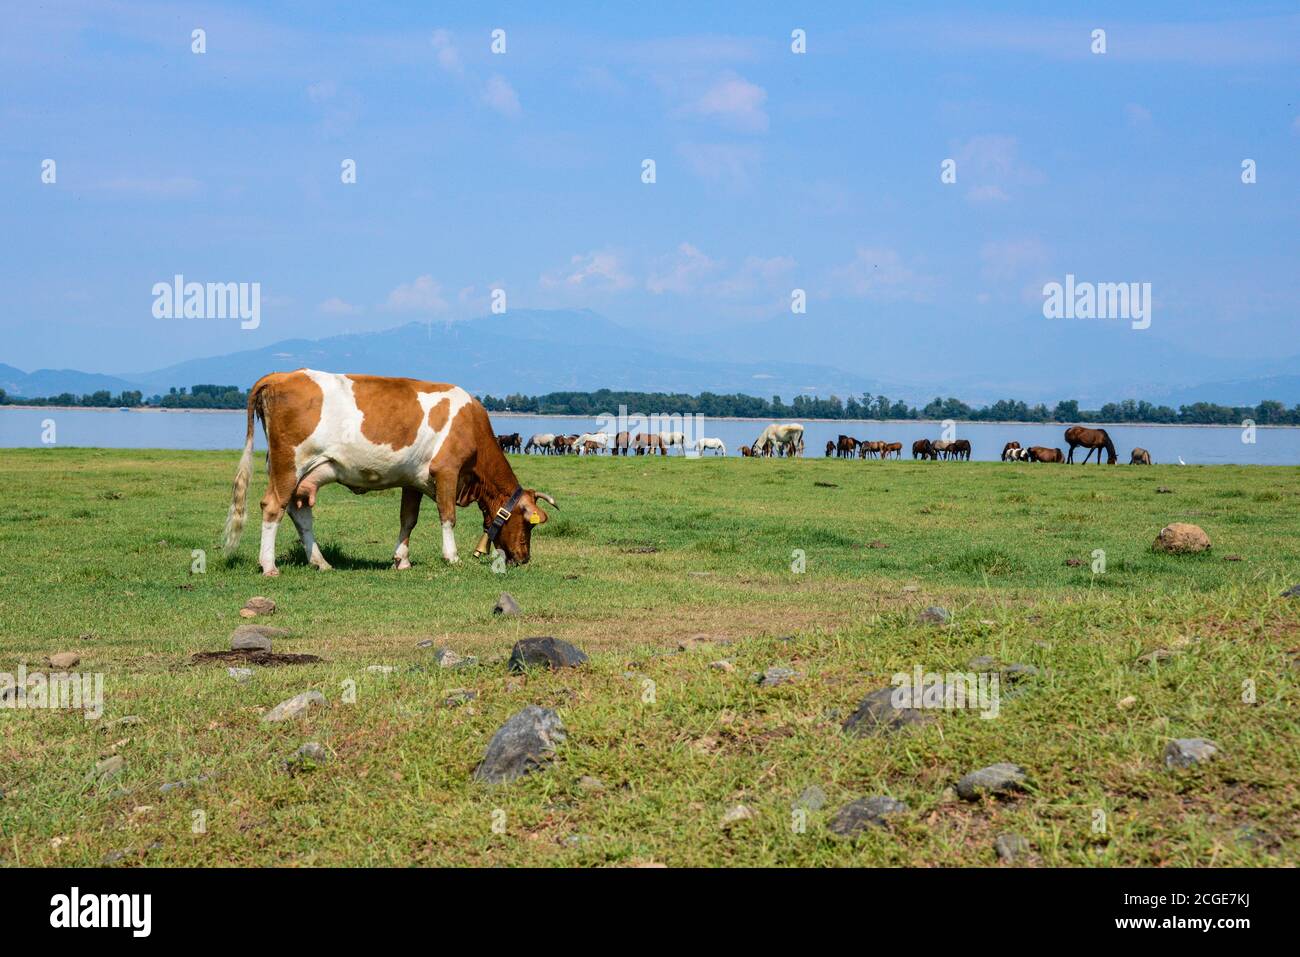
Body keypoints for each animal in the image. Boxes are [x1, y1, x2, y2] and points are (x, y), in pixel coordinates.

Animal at [221, 371, 557, 577]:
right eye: (528, 524)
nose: (524, 558)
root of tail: (282, 375)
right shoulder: (446, 471)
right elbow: (448, 516)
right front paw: (452, 556)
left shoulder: (413, 480)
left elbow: (408, 519)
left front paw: (402, 559)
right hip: (288, 463)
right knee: (272, 507)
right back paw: (269, 566)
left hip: (301, 472)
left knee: (299, 513)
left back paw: (321, 562)